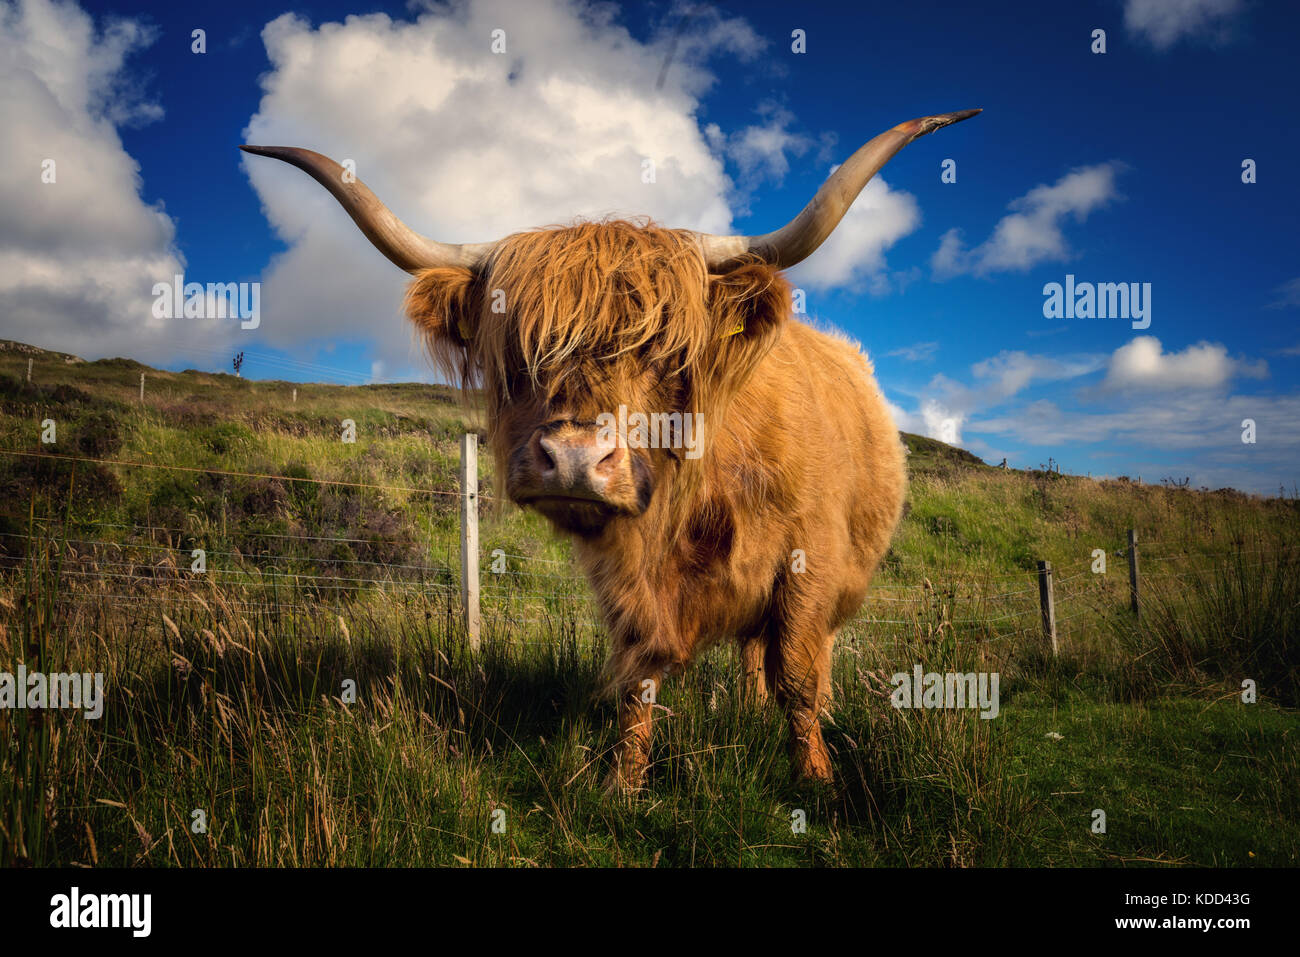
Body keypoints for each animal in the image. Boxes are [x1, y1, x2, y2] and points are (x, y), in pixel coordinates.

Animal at [241, 108, 980, 791]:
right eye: (517, 352)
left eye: (665, 350)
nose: (572, 459)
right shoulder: (625, 583)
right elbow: (638, 677)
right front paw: (623, 784)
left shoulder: (809, 559)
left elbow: (797, 672)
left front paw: (816, 778)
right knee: (750, 655)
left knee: (799, 655)